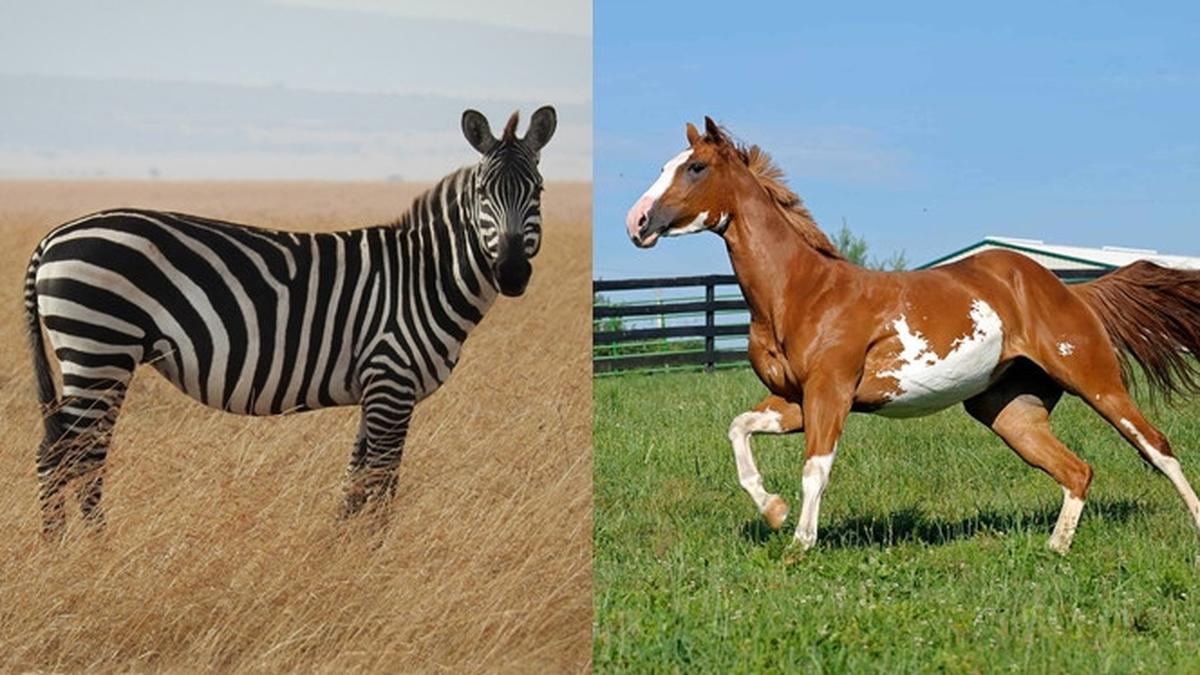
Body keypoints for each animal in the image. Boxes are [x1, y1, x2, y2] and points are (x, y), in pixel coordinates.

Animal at [23, 106, 557, 538]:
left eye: (538, 191)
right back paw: (84, 552)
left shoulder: (376, 388)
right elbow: (382, 480)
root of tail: (53, 236)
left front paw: (339, 552)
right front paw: (377, 556)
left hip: (99, 354)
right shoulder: (391, 379)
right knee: (70, 456)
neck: (424, 276)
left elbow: (355, 481)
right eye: (483, 193)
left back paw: (66, 549)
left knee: (69, 454)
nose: (512, 273)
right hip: (101, 348)